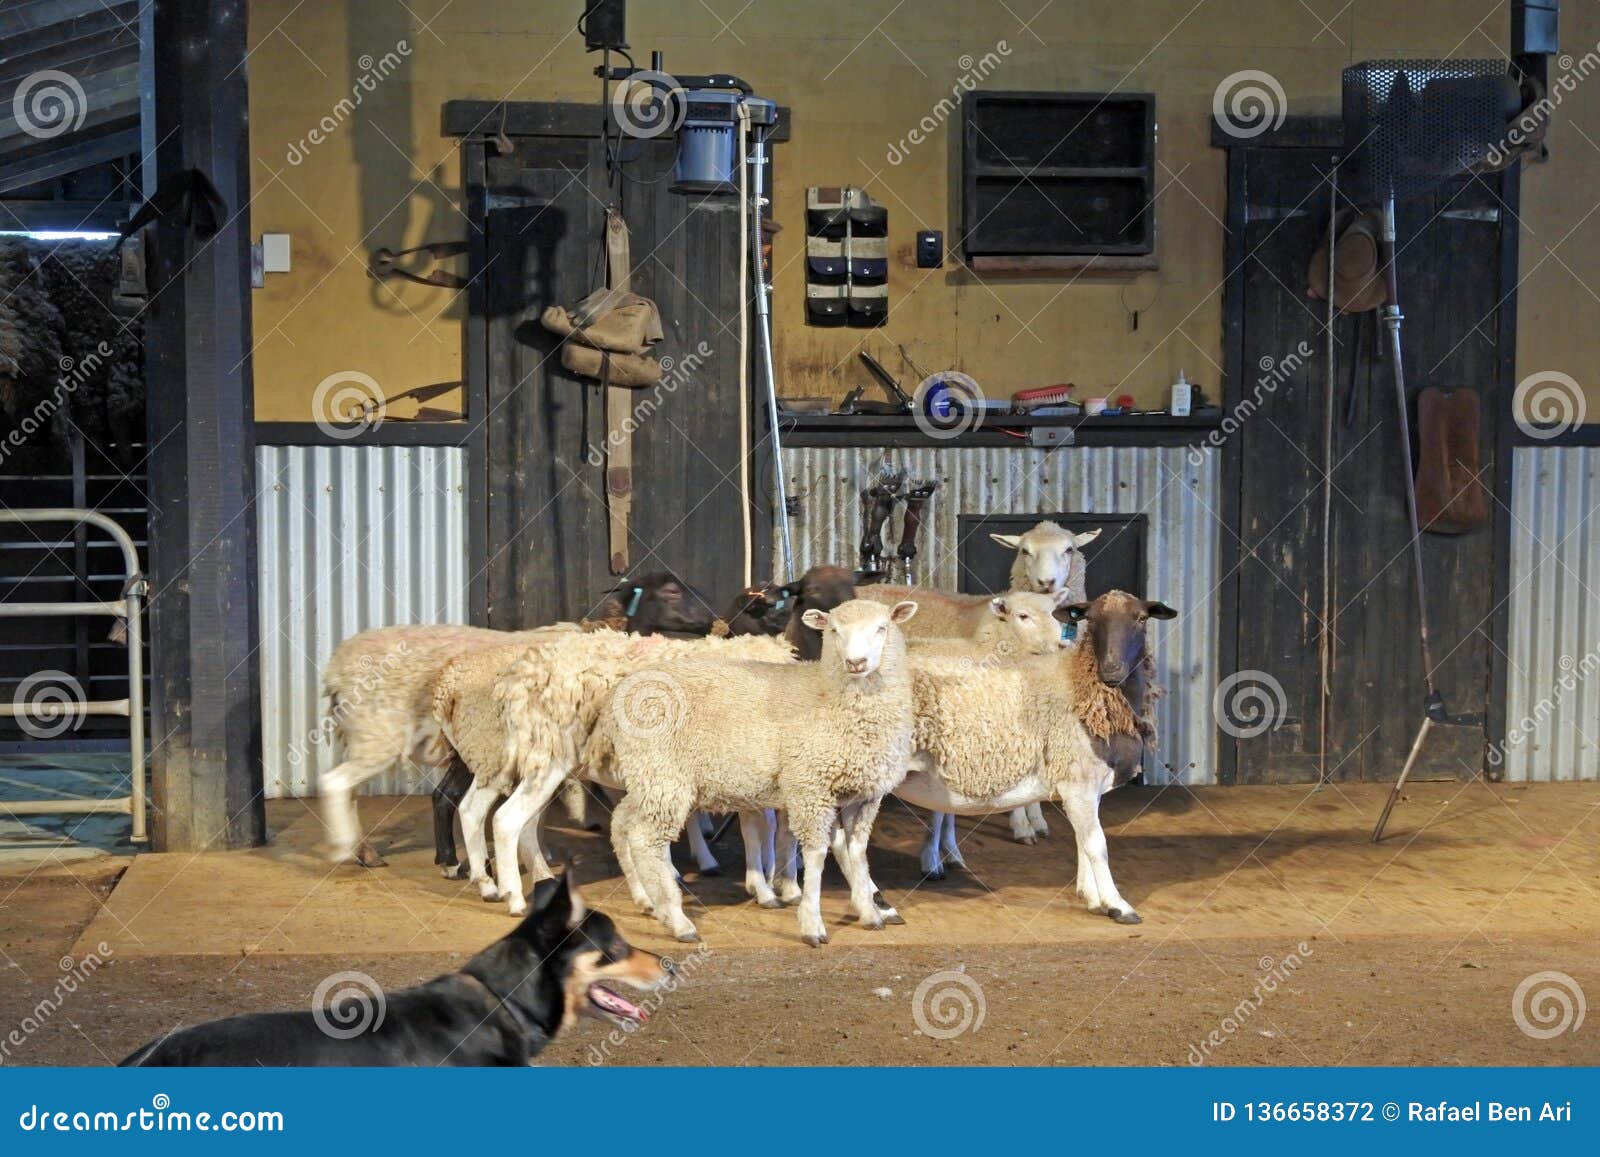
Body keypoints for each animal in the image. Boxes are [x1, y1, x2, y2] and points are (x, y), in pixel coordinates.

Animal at [587, 599, 919, 945]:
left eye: (882, 628)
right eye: (833, 630)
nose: (856, 663)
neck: (828, 695)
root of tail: (616, 696)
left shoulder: (864, 796)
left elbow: (856, 851)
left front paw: (868, 911)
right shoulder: (809, 787)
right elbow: (816, 855)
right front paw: (812, 923)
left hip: (649, 780)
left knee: (622, 824)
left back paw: (645, 898)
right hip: (662, 774)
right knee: (645, 839)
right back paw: (677, 919)